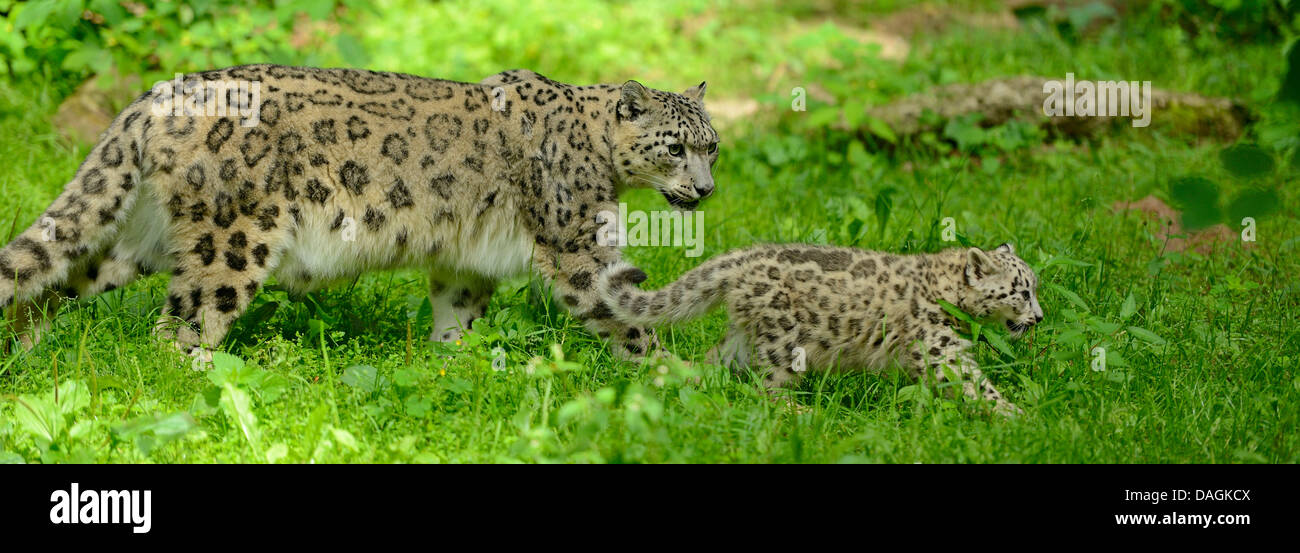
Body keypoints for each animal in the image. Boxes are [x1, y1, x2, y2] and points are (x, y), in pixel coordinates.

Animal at [0, 64, 719, 363]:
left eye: (713, 146)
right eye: (676, 147)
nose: (707, 189)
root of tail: (158, 97)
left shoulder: (467, 261)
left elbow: (458, 311)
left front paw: (451, 363)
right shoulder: (576, 247)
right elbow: (625, 313)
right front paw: (673, 377)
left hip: (138, 239)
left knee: (57, 277)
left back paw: (24, 353)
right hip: (229, 243)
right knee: (180, 327)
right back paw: (201, 383)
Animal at [598, 243, 1043, 416]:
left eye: (1034, 288)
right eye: (1022, 292)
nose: (1039, 317)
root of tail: (743, 257)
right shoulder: (939, 348)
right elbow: (974, 382)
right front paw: (1019, 416)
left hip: (745, 336)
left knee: (719, 364)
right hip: (782, 342)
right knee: (767, 388)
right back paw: (803, 412)